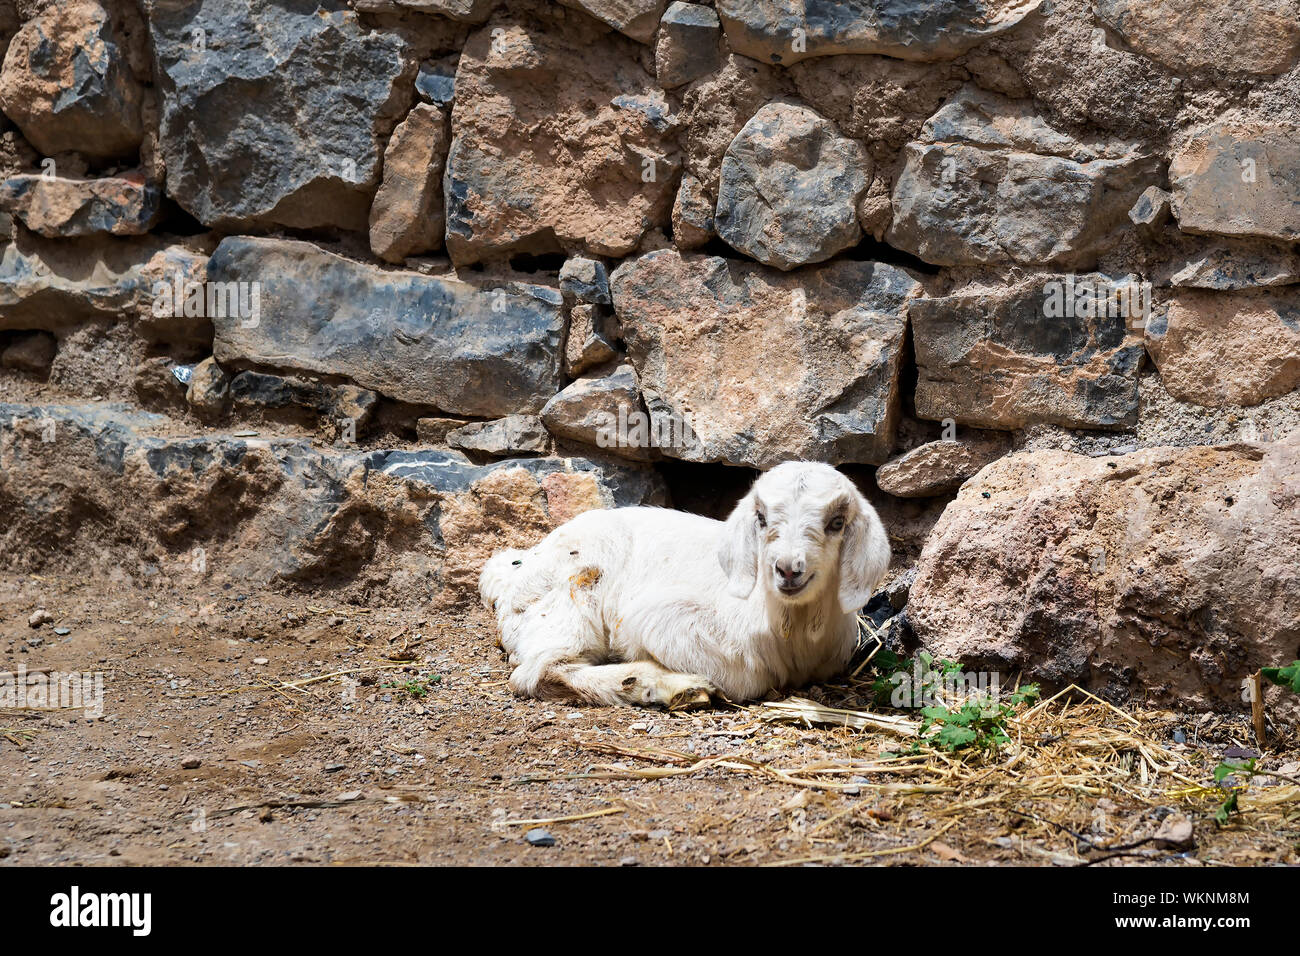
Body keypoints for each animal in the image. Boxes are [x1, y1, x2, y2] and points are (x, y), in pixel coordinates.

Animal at [479, 461, 891, 709]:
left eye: (837, 522)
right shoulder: (661, 618)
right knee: (539, 671)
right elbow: (750, 677)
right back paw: (665, 684)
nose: (789, 569)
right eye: (761, 518)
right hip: (572, 593)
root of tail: (512, 571)